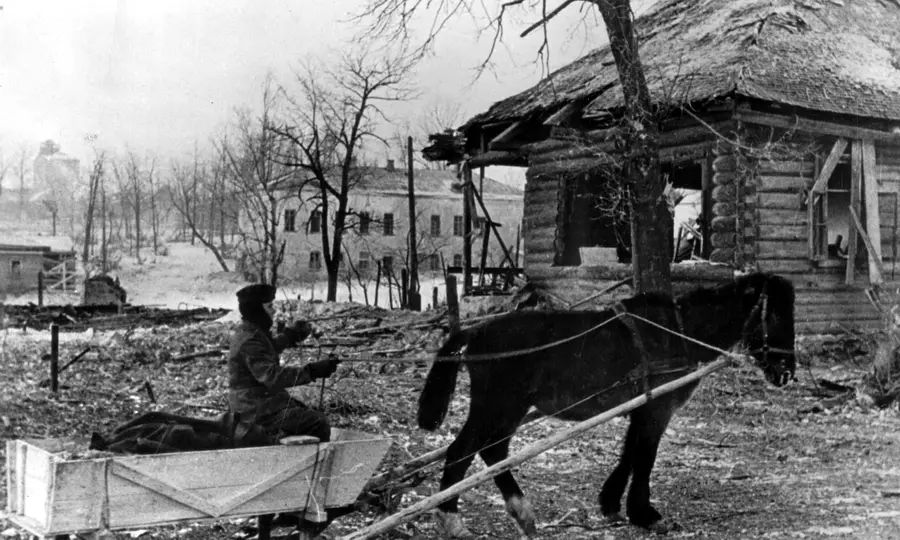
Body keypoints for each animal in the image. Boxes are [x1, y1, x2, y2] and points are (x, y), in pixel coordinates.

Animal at [414, 274, 796, 536]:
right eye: (776, 316)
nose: (787, 373)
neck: (678, 331)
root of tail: (476, 332)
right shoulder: (657, 410)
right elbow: (644, 457)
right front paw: (645, 514)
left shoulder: (642, 407)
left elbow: (630, 454)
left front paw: (612, 504)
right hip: (496, 405)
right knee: (463, 451)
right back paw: (451, 520)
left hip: (510, 410)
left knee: (494, 451)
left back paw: (520, 511)